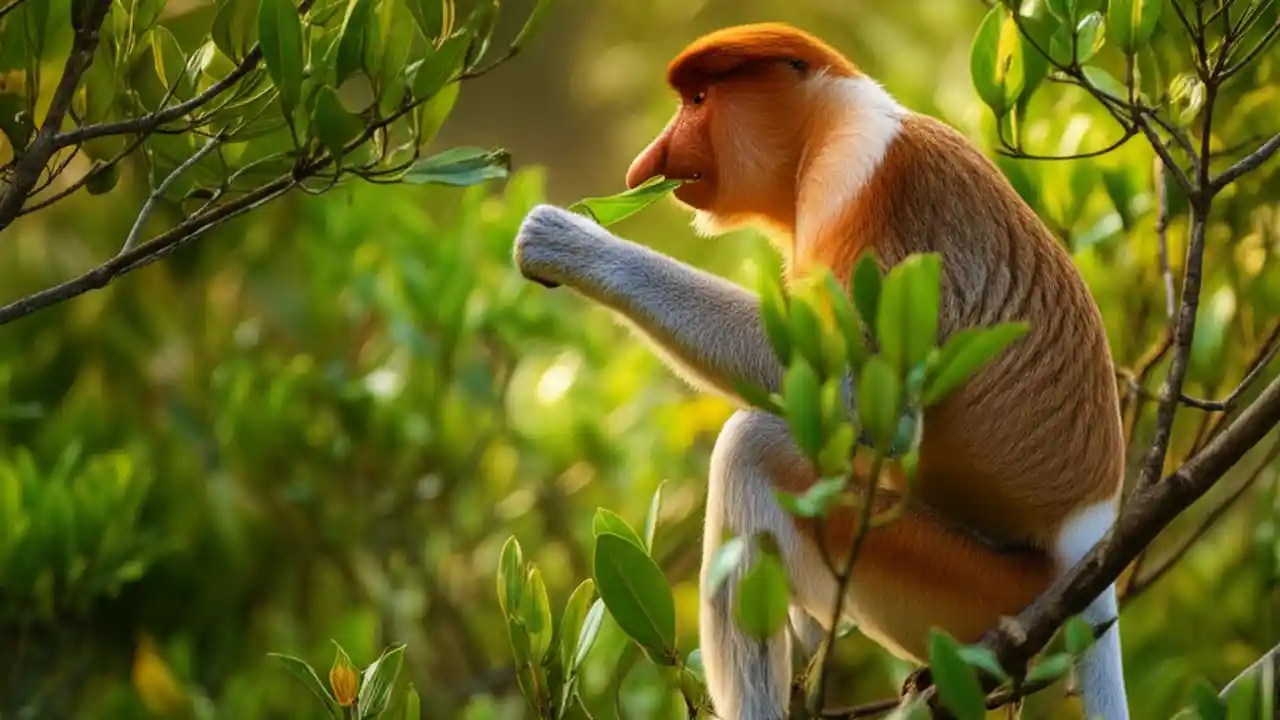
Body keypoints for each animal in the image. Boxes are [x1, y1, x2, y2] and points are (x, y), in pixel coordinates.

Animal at [513, 23, 1128, 720]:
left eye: (698, 99)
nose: (647, 167)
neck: (830, 122)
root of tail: (1087, 547)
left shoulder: (860, 184)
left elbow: (870, 405)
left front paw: (567, 242)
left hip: (968, 587)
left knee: (751, 447)